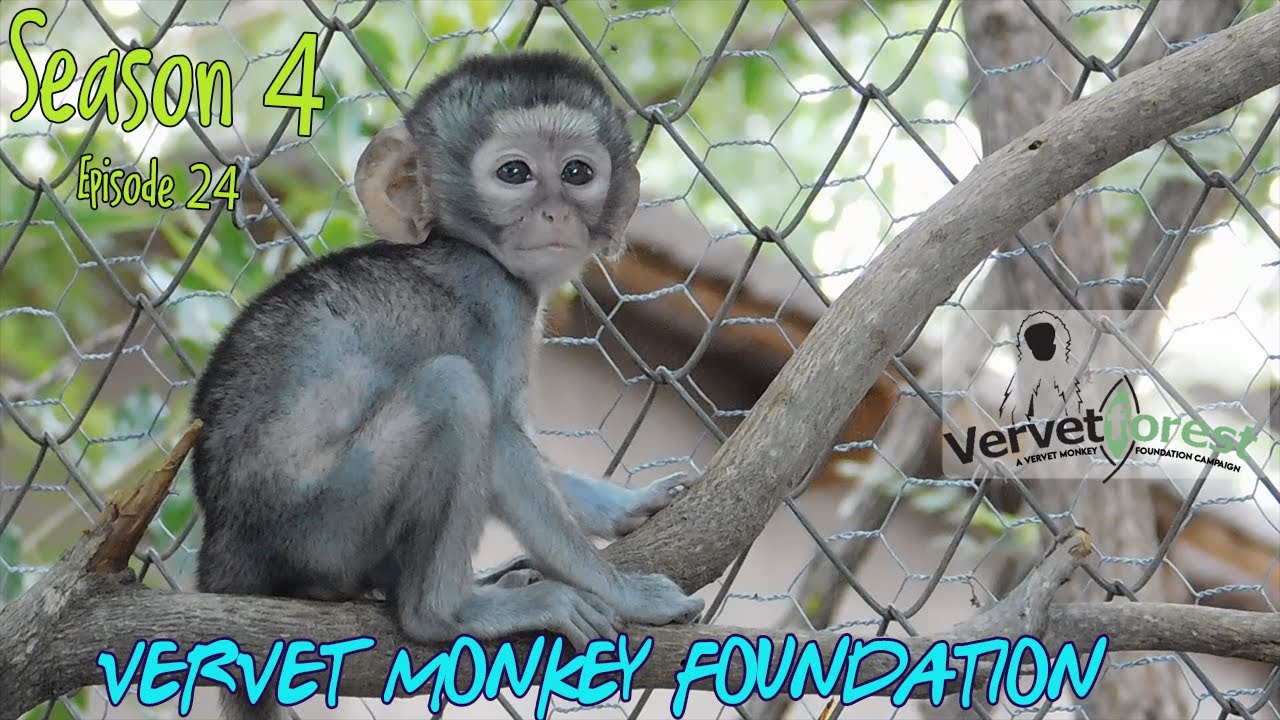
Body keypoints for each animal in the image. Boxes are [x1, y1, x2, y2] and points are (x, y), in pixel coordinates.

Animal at [191, 50, 704, 719]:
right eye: (514, 173)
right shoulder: (493, 301)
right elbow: (506, 448)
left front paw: (625, 506)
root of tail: (221, 553)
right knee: (454, 389)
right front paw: (624, 591)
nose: (555, 213)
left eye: (577, 173)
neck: (470, 246)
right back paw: (447, 610)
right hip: (316, 524)